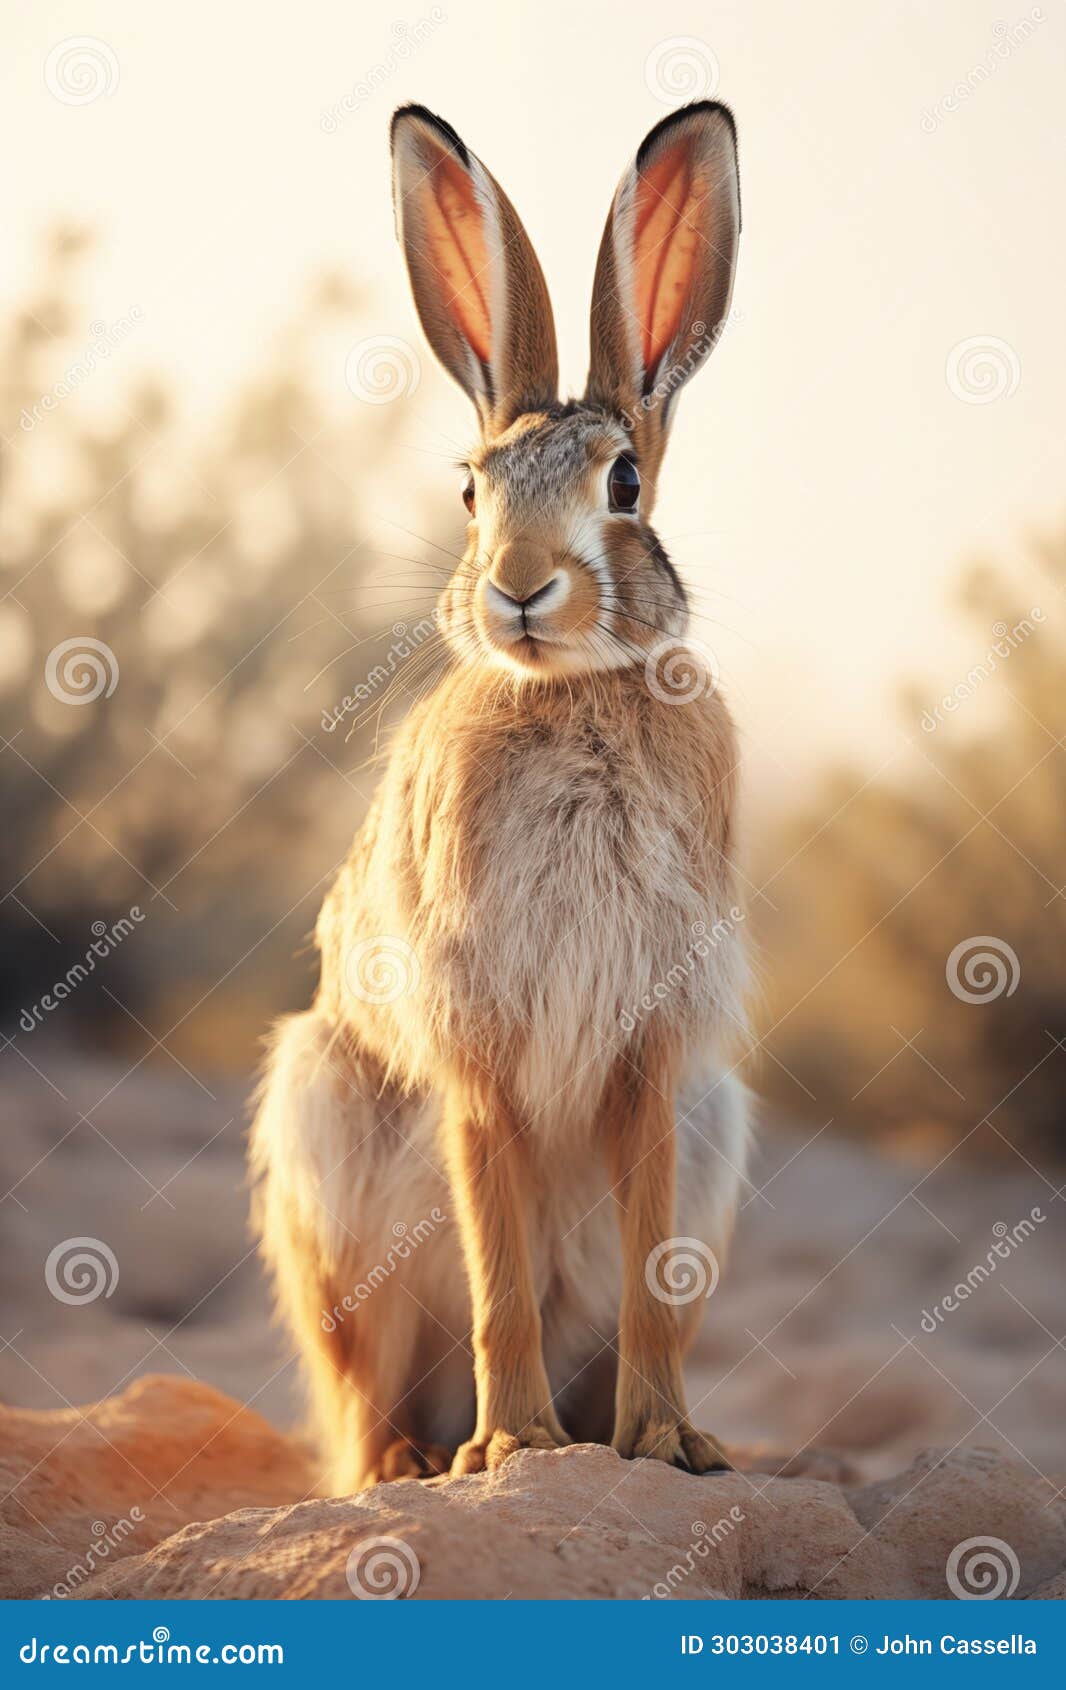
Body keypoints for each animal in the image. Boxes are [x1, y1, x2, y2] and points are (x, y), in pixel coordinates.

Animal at [251, 98, 750, 1493]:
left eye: (623, 482)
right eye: (471, 489)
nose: (519, 587)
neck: (569, 692)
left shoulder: (655, 1052)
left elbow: (647, 1278)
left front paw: (665, 1444)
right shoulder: (475, 1041)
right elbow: (496, 1269)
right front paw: (513, 1448)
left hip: (717, 1122)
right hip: (325, 1127)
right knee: (365, 1394)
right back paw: (415, 1461)